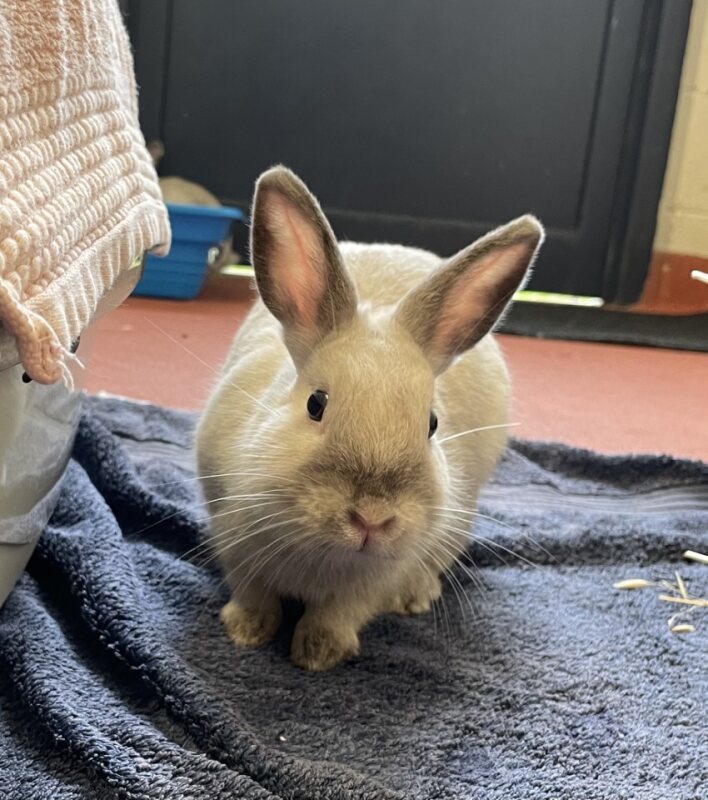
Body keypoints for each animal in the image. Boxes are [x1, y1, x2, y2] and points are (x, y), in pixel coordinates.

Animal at [196, 166, 543, 671]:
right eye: (315, 404)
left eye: (432, 424)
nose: (372, 519)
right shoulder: (233, 537)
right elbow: (253, 593)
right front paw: (246, 632)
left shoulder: (375, 579)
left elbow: (339, 613)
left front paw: (318, 655)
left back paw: (415, 597)